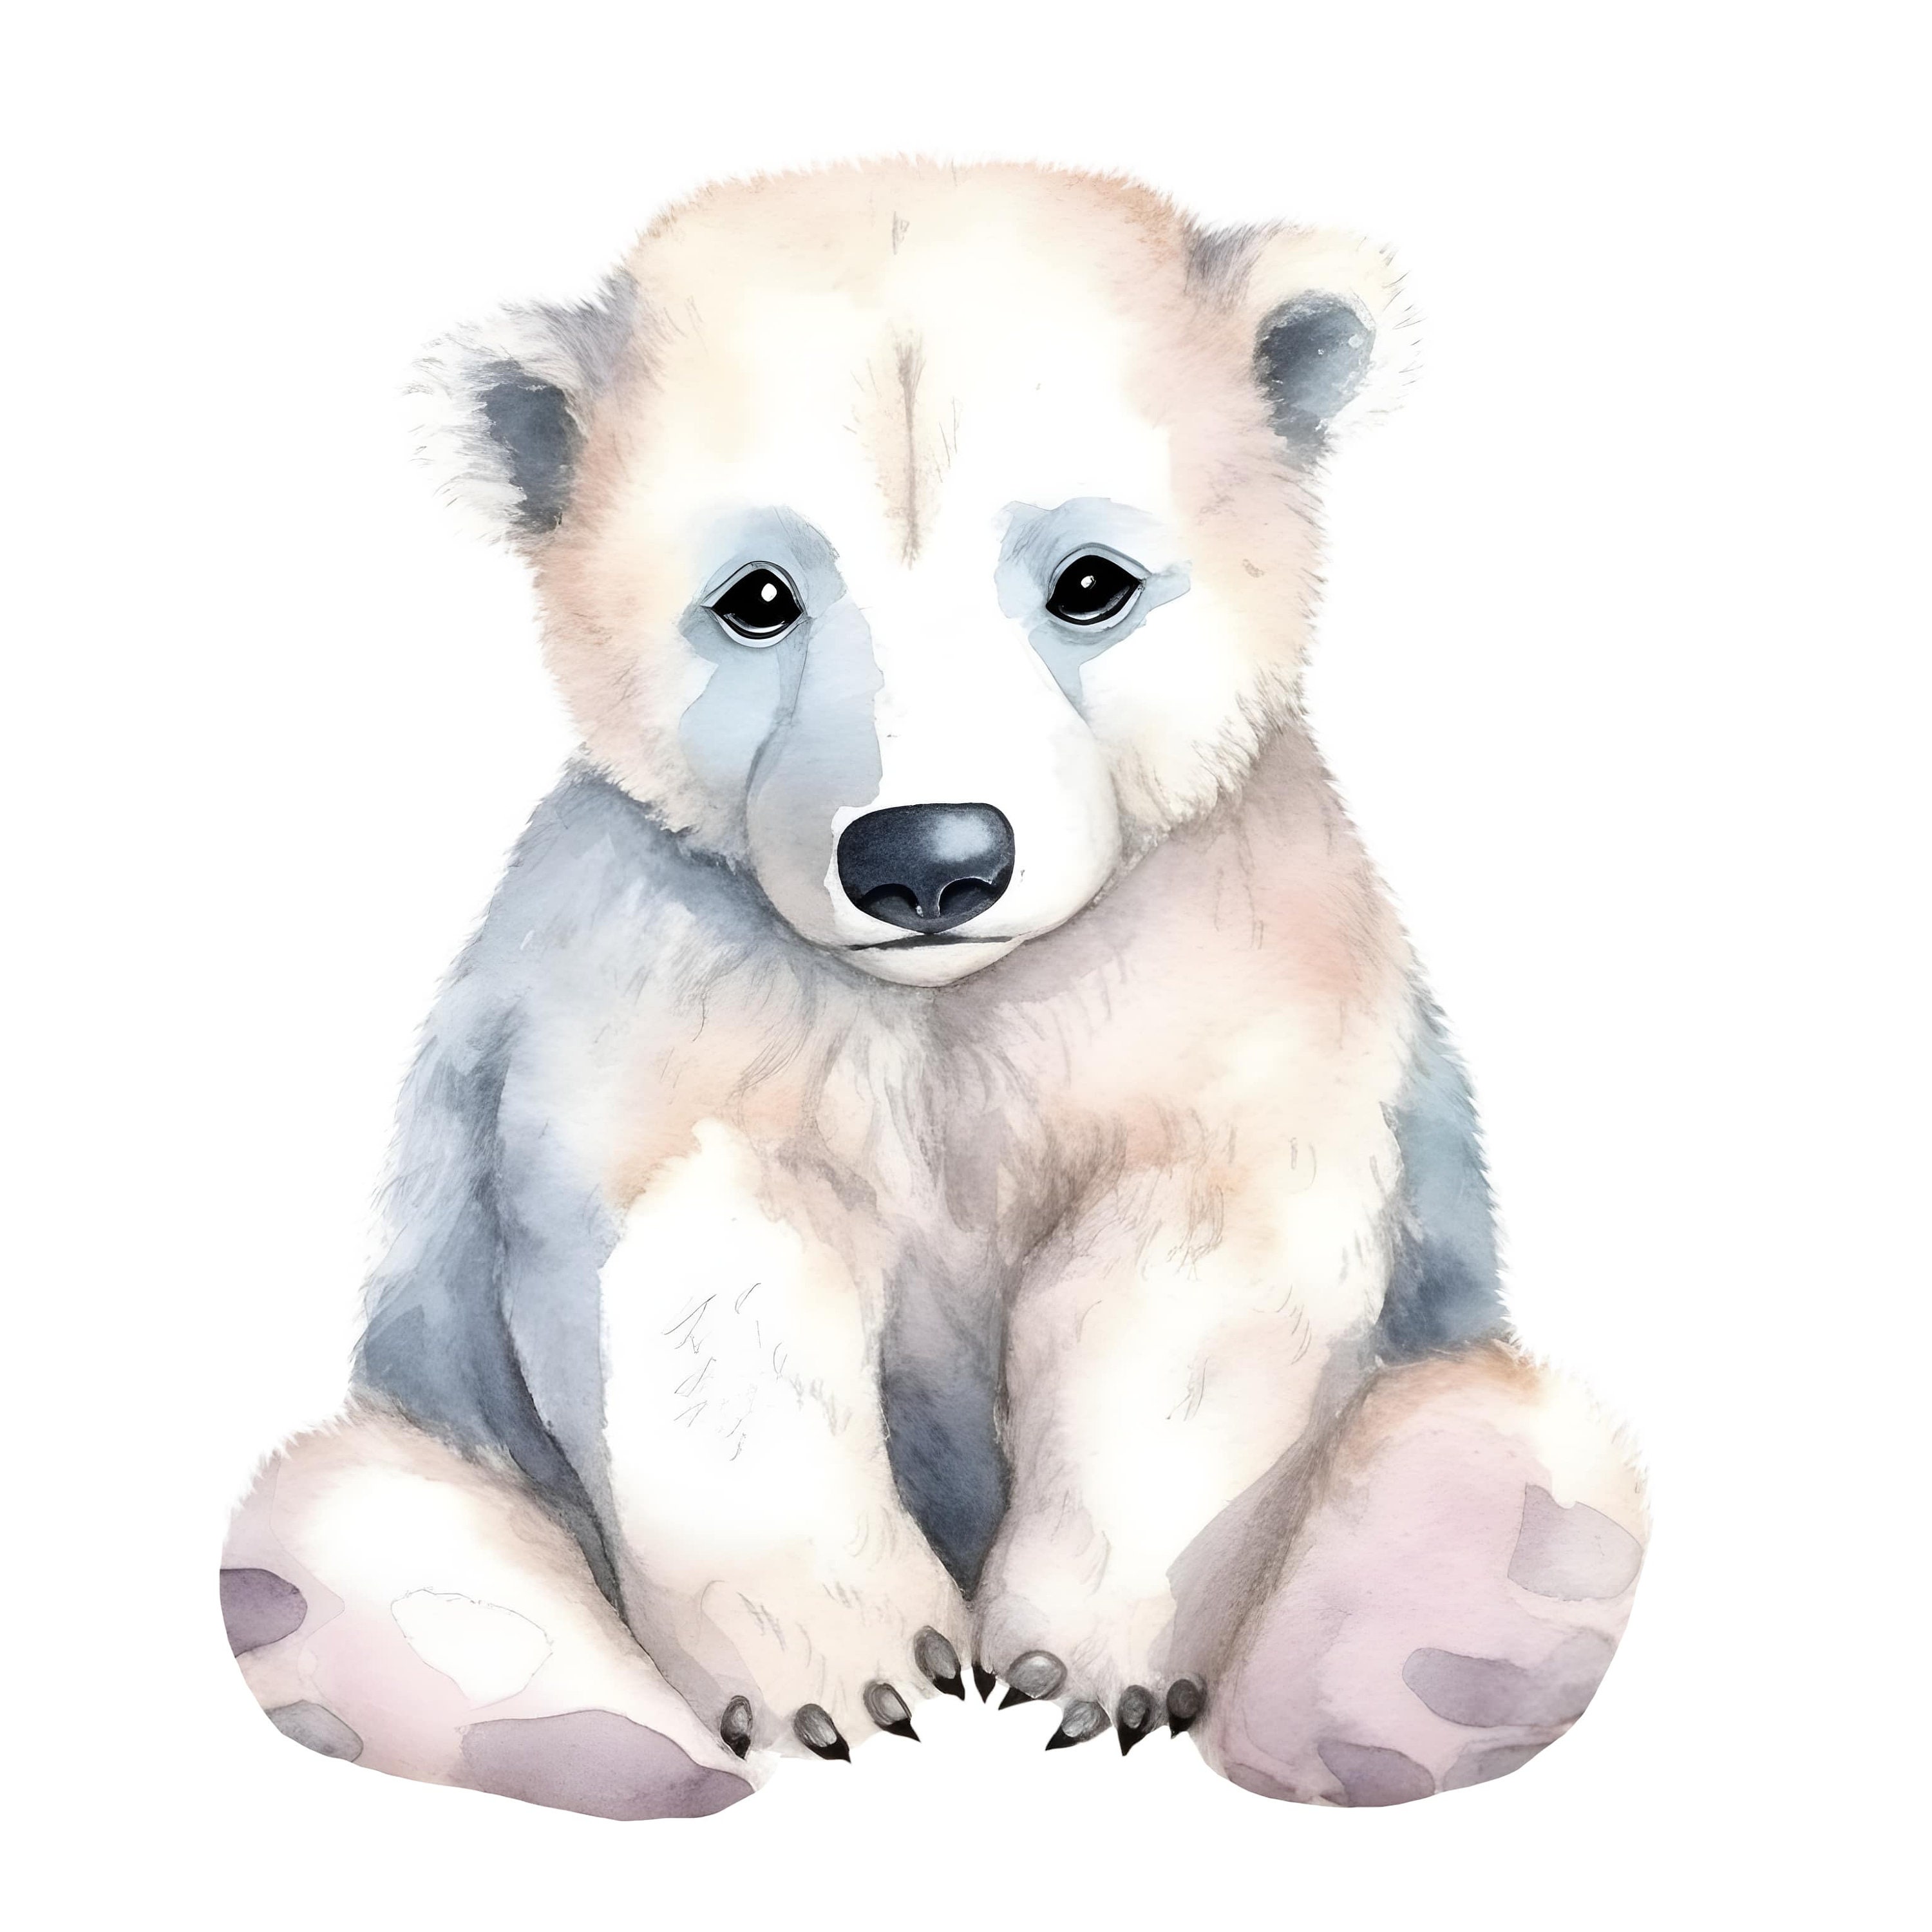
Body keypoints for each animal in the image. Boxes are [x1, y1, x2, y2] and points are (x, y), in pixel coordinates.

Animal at [221, 161, 1646, 1817]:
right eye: (755, 594)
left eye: (1090, 581)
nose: (928, 858)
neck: (954, 993)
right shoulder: (667, 970)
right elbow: (701, 1287)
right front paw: (851, 1683)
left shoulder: (1224, 949)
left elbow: (1190, 1277)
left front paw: (1080, 1671)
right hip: (437, 1429)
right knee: (340, 1527)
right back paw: (609, 1743)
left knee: (1514, 1455)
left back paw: (1404, 1689)